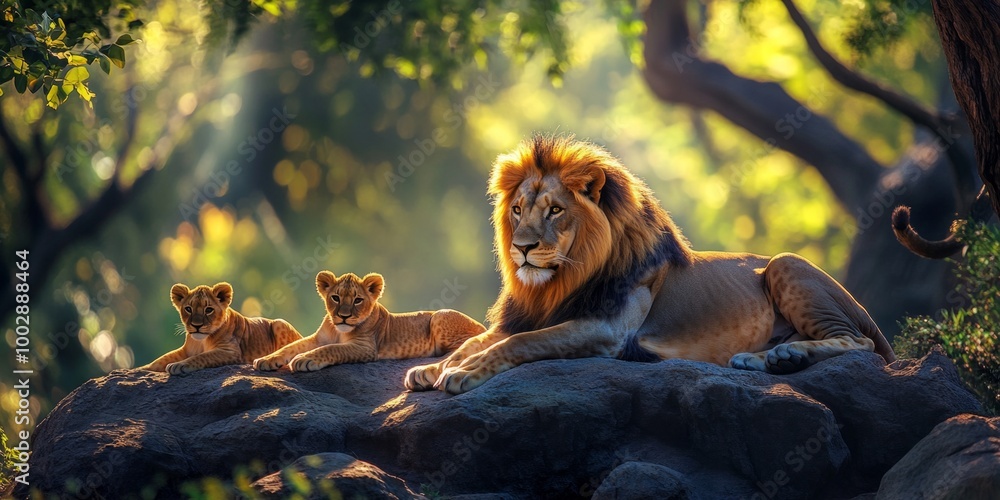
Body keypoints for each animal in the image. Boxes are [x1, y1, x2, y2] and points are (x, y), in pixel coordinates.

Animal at [140, 282, 303, 375]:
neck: (201, 341)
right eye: (188, 309)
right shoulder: (185, 350)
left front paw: (179, 365)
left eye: (208, 310)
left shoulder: (231, 352)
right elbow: (161, 359)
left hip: (279, 322)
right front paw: (141, 369)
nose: (196, 326)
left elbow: (202, 356)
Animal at [253, 271, 486, 372]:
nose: (344, 316)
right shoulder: (318, 339)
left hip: (439, 315)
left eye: (358, 300)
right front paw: (266, 359)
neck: (339, 330)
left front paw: (304, 359)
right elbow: (291, 346)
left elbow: (331, 349)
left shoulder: (365, 348)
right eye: (335, 297)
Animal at [405, 135, 896, 394]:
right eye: (518, 210)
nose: (522, 249)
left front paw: (463, 373)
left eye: (555, 211)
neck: (560, 281)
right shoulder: (526, 315)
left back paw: (786, 354)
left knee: (860, 345)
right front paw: (433, 368)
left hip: (785, 264)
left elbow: (521, 343)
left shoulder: (607, 329)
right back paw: (766, 359)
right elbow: (481, 339)